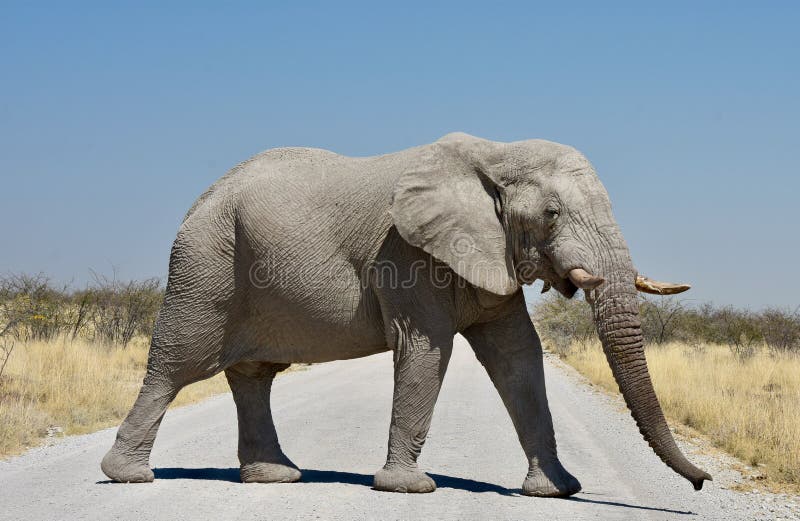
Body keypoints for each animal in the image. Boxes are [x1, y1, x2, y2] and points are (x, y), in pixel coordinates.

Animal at [101, 132, 711, 496]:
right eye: (553, 213)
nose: (702, 483)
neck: (497, 152)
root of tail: (202, 198)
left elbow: (518, 356)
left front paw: (559, 491)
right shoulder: (407, 253)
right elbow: (426, 349)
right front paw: (408, 488)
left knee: (253, 377)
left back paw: (275, 477)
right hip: (206, 264)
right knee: (176, 365)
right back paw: (129, 476)